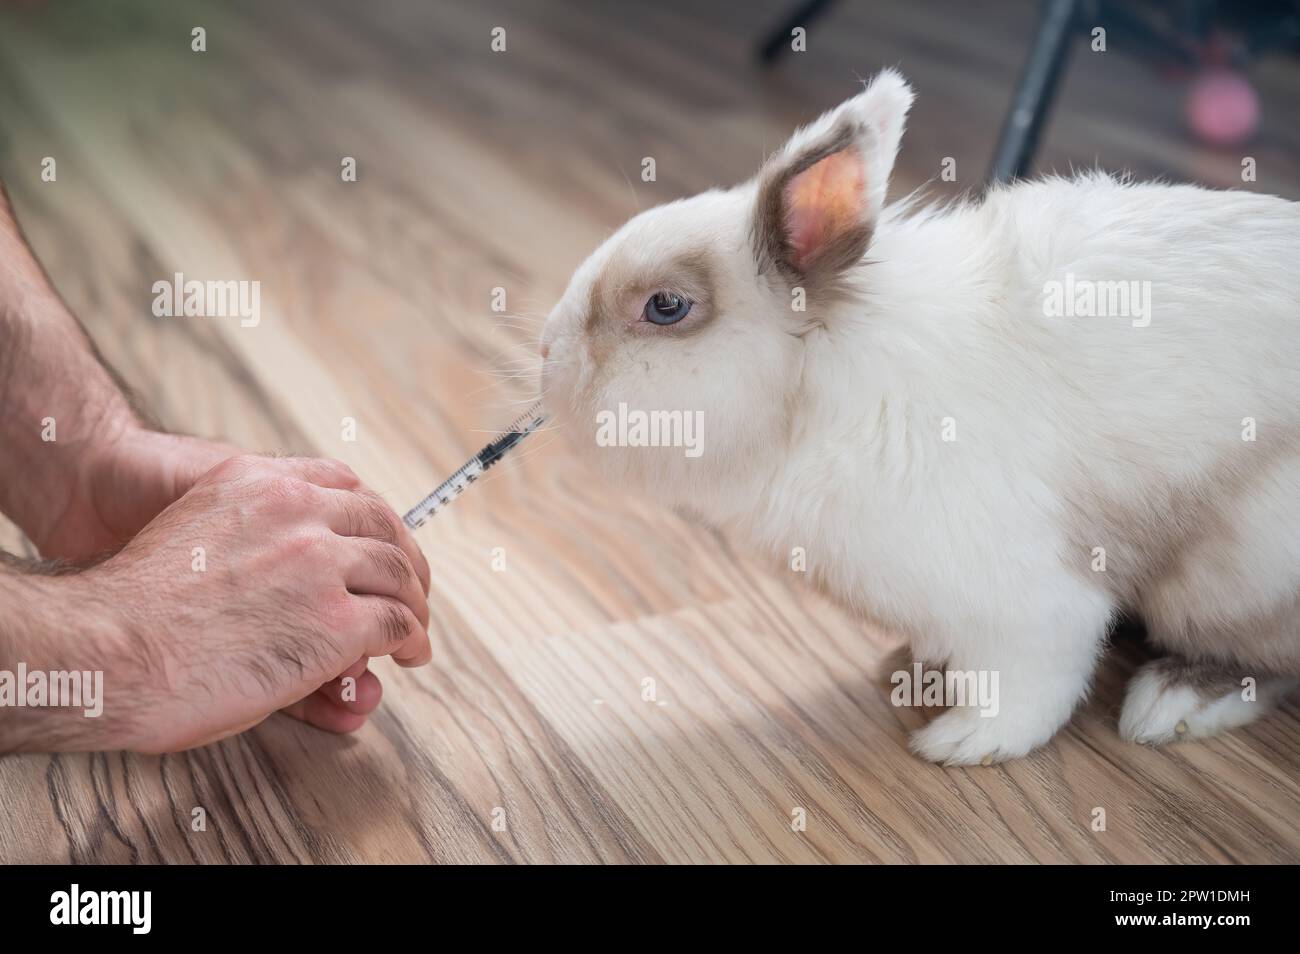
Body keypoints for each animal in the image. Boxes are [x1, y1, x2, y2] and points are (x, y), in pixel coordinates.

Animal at [538, 69, 1300, 764]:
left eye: (666, 306)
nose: (547, 355)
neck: (815, 395)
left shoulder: (1031, 604)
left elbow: (1032, 683)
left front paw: (965, 742)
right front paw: (911, 670)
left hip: (1237, 571)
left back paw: (1172, 700)